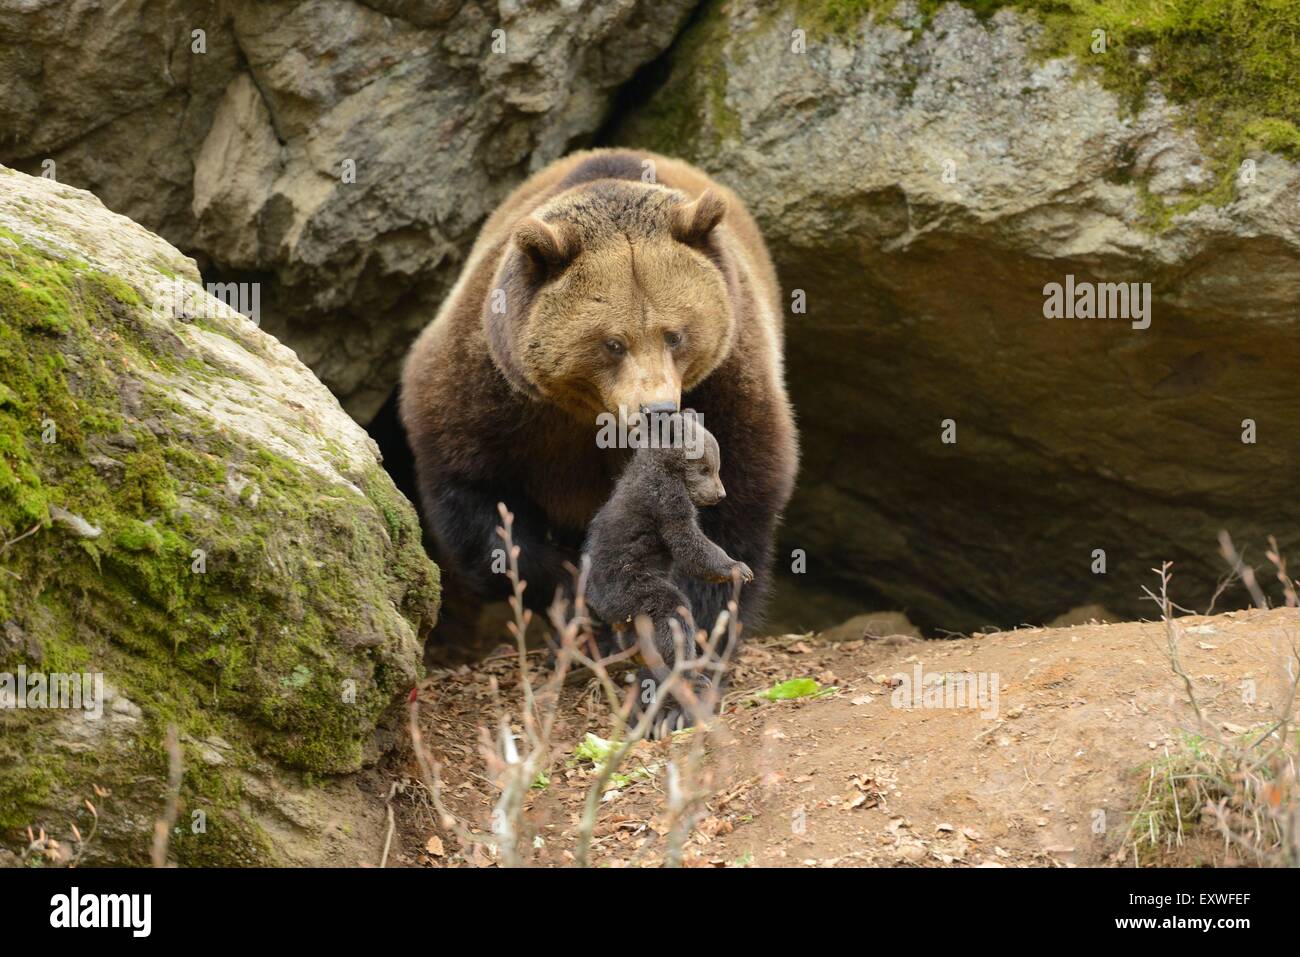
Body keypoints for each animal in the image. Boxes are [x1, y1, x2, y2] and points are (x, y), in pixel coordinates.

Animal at [399, 148, 798, 680]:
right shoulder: (493, 395)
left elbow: (736, 500)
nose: (657, 410)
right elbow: (480, 503)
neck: (590, 413)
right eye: (613, 343)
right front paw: (576, 600)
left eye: (676, 334)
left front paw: (694, 639)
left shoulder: (726, 382)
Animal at [582, 410, 753, 737]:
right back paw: (688, 673)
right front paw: (737, 568)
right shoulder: (666, 498)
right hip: (632, 588)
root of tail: (596, 603)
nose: (720, 493)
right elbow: (687, 540)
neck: (668, 467)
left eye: (717, 466)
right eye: (706, 468)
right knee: (672, 612)